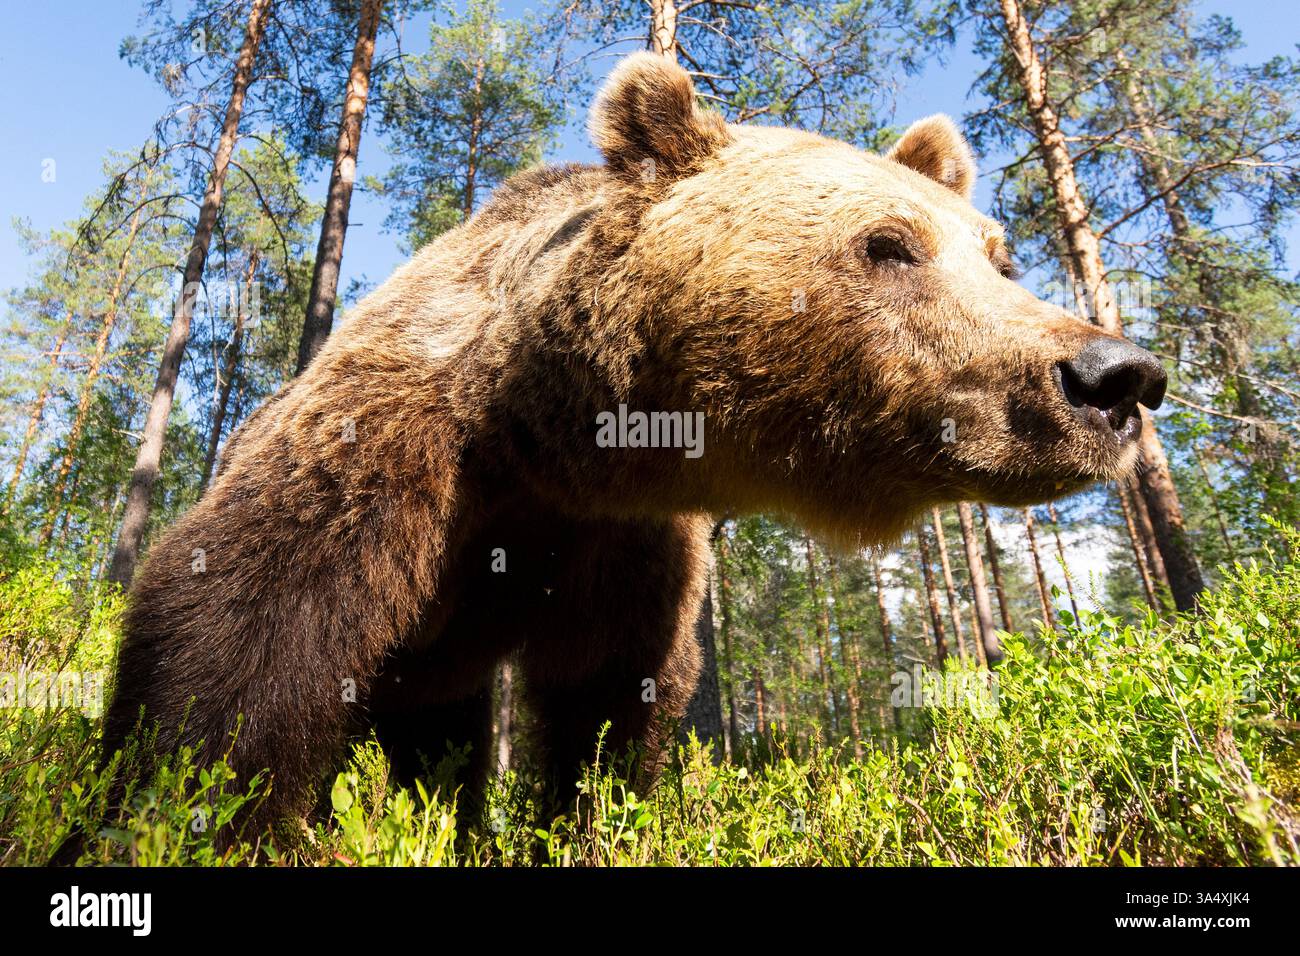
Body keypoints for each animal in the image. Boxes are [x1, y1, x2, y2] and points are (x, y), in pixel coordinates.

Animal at [101, 52, 1166, 837]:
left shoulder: (623, 540)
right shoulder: (395, 445)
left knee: (437, 742)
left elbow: (613, 699)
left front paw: (583, 819)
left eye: (999, 256)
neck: (551, 440)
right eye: (888, 245)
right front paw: (206, 812)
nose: (1116, 378)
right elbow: (243, 638)